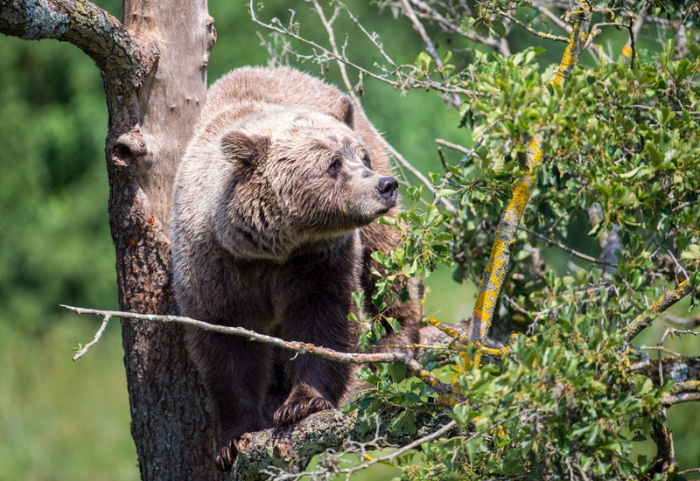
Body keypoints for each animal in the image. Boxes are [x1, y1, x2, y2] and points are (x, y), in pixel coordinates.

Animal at [171, 66, 420, 471]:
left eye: (360, 157)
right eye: (333, 164)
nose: (385, 186)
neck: (269, 247)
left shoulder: (317, 260)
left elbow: (322, 319)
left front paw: (302, 402)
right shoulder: (214, 267)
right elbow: (225, 343)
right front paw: (233, 438)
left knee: (386, 261)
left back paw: (396, 338)